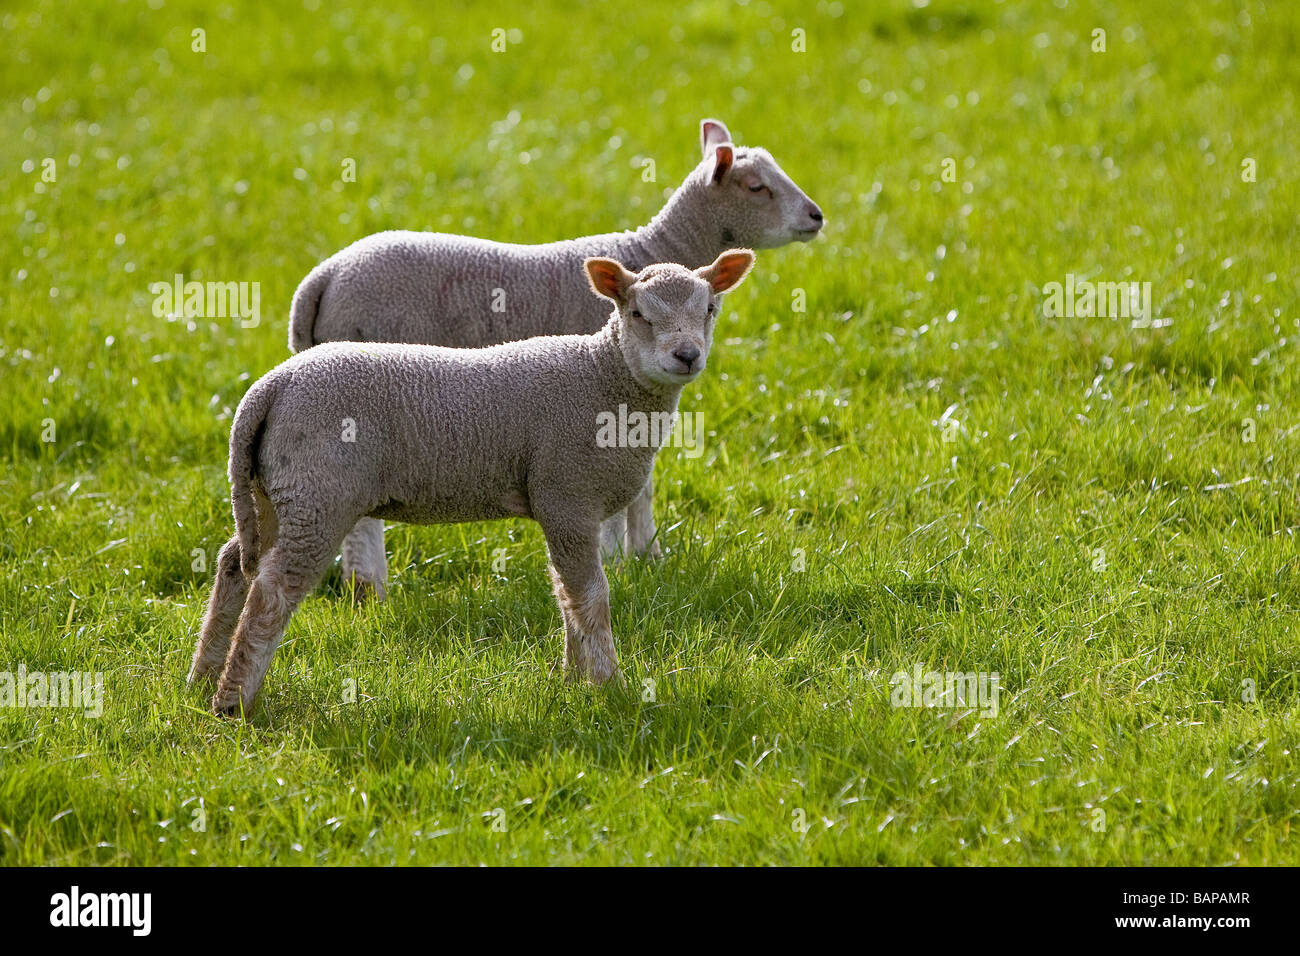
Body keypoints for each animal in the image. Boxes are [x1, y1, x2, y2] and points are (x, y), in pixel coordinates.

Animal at [188, 250, 756, 716]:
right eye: (638, 313)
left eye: (710, 308)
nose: (687, 355)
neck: (603, 375)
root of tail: (269, 388)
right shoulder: (568, 494)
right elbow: (590, 596)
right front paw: (607, 685)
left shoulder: (562, 505)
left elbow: (565, 594)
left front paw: (573, 681)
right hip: (319, 493)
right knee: (272, 590)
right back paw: (233, 701)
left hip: (274, 491)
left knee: (234, 564)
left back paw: (200, 678)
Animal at [288, 118, 822, 600]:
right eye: (756, 187)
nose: (817, 217)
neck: (659, 249)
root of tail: (322, 277)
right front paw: (629, 557)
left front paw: (639, 555)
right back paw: (371, 588)